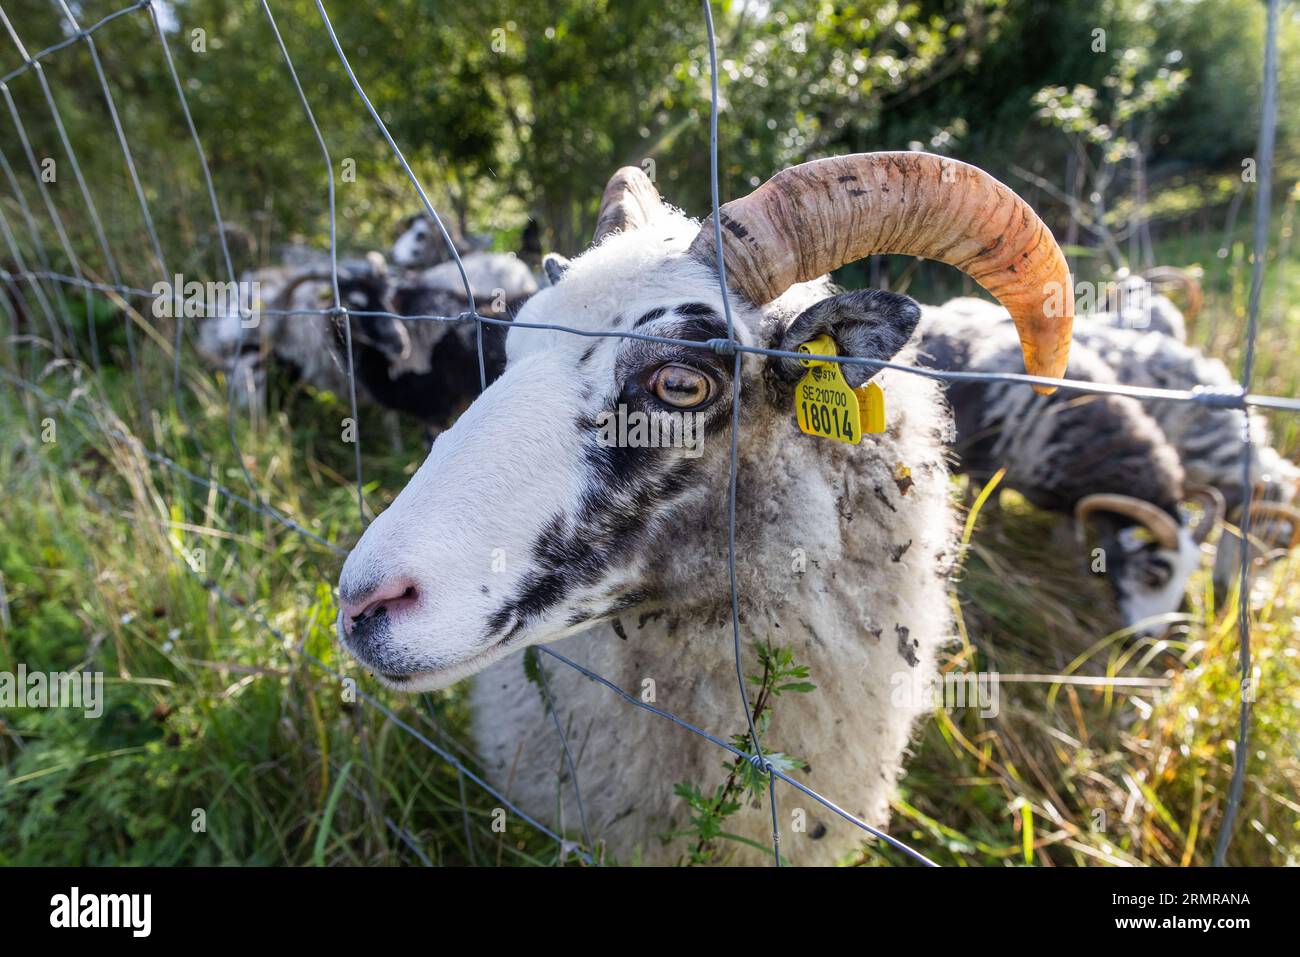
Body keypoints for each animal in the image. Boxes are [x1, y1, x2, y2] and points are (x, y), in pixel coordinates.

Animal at [916, 301, 1221, 634]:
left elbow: (1069, 539)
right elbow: (988, 509)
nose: (1150, 637)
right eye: (1154, 575)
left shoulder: (1066, 503)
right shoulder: (988, 471)